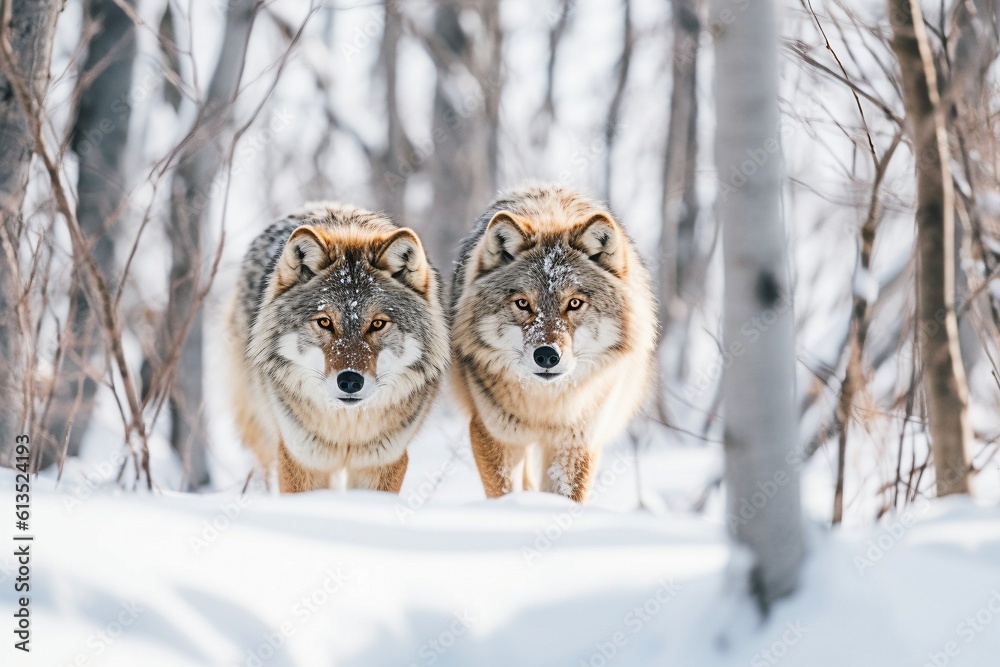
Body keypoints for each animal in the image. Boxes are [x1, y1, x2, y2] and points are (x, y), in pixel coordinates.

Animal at [225, 203, 449, 493]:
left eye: (377, 324)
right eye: (325, 322)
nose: (350, 381)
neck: (347, 428)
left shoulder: (384, 462)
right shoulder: (299, 459)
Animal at [450, 183, 657, 502]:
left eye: (574, 303)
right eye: (523, 303)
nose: (546, 355)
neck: (546, 407)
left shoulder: (576, 443)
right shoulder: (494, 435)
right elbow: (503, 493)